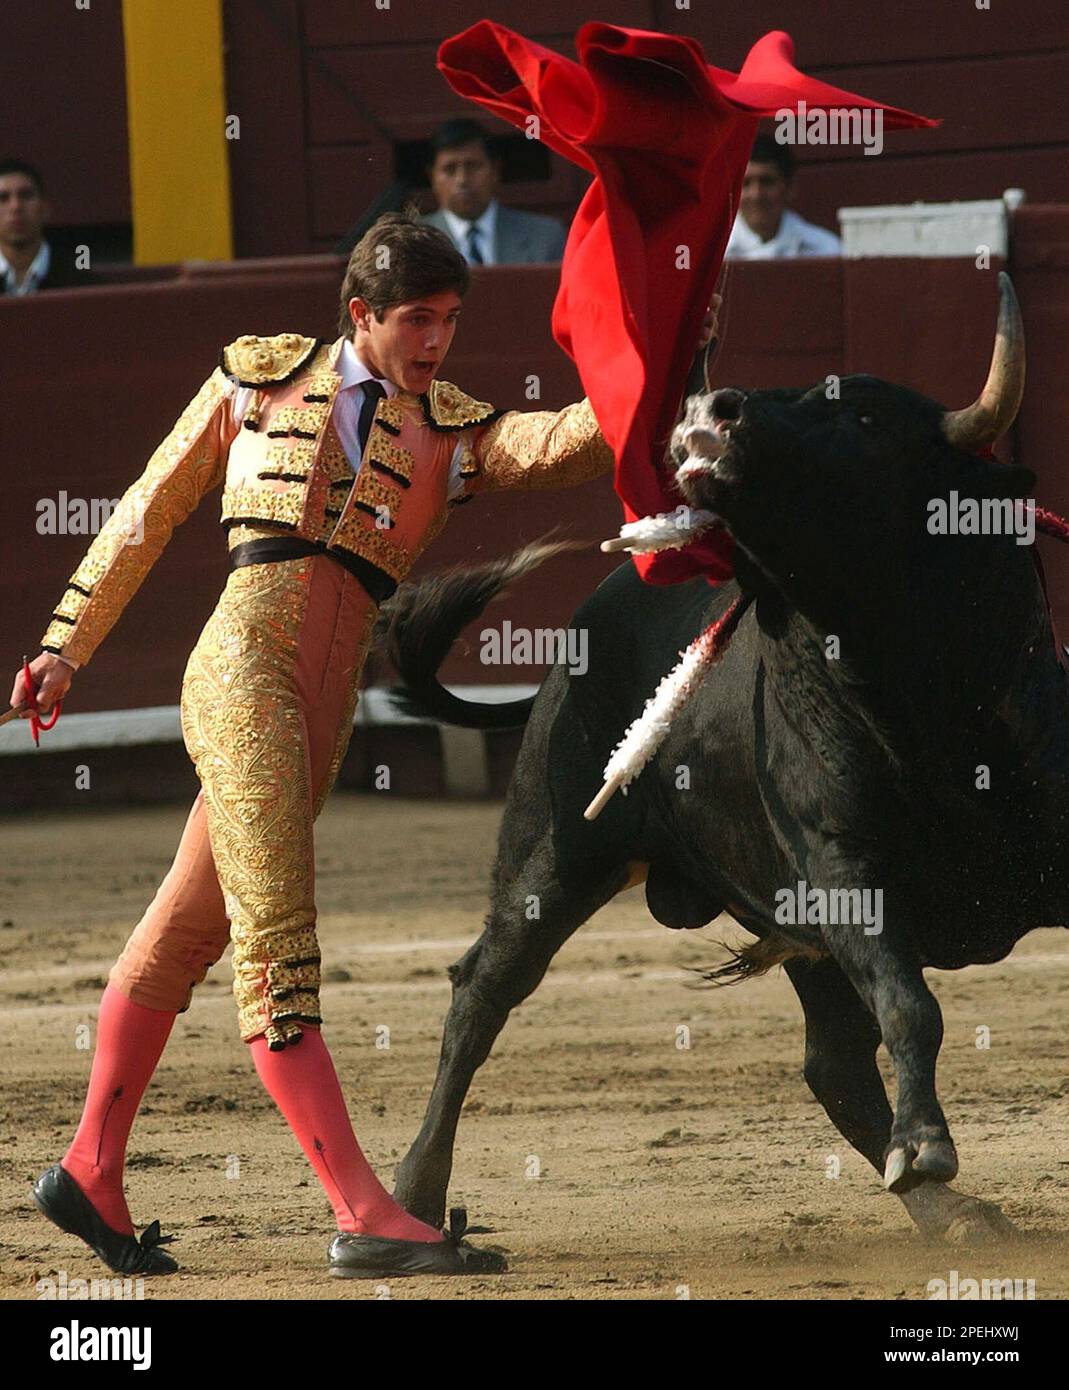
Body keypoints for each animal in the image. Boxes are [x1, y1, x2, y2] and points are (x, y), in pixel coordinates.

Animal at [383, 275, 1069, 1242]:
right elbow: (912, 1004)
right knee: (484, 987)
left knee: (831, 1064)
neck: (919, 709)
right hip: (557, 853)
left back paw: (954, 1217)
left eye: (865, 414)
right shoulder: (843, 873)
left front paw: (925, 1162)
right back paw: (411, 1198)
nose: (710, 411)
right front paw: (927, 1145)